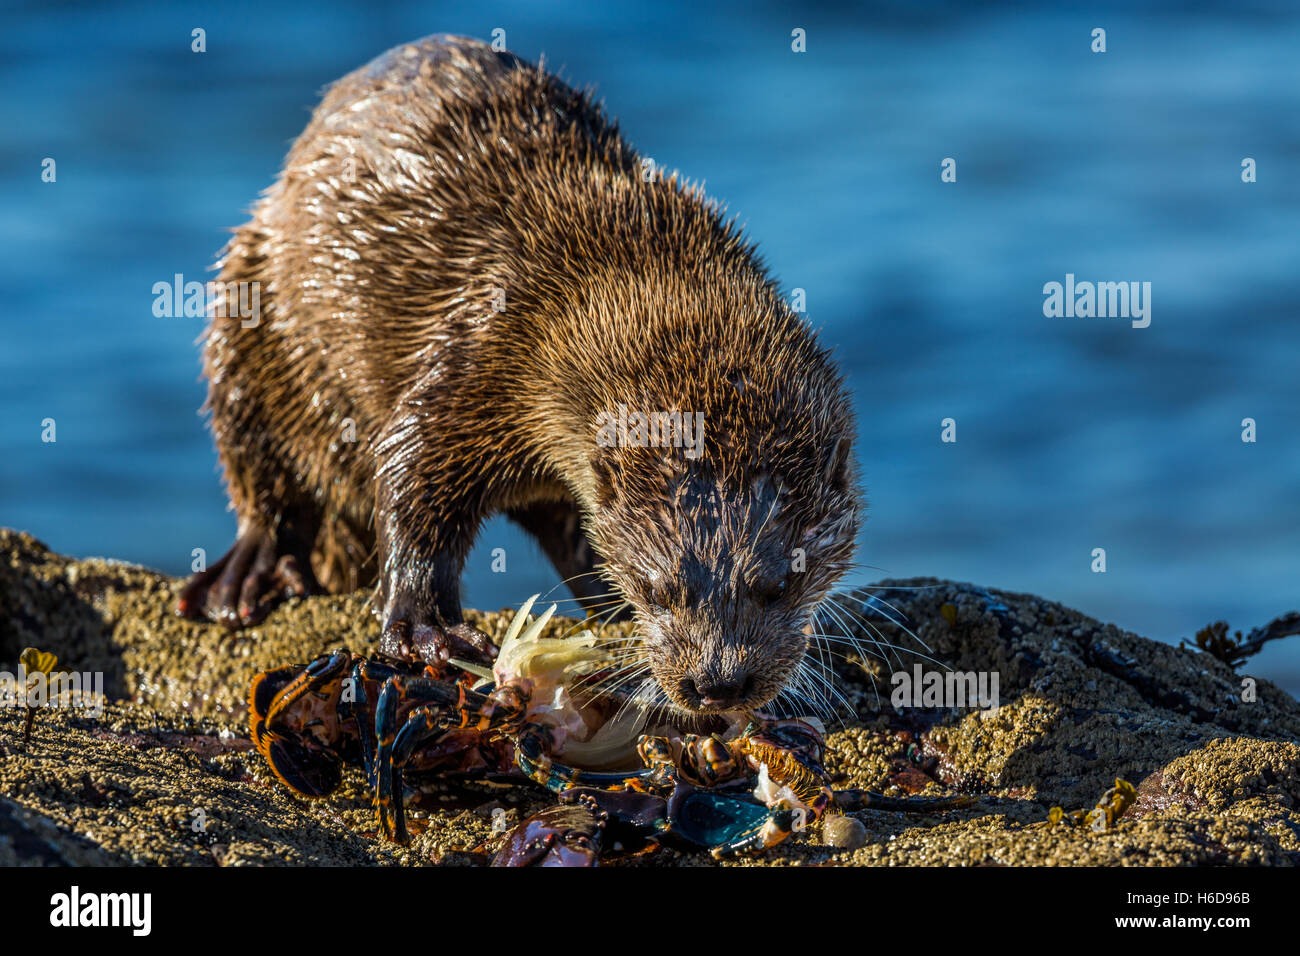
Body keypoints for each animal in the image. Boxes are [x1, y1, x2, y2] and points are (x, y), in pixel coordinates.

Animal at [179, 34, 862, 718]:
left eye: (783, 581)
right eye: (659, 587)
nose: (717, 683)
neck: (601, 279)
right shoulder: (477, 352)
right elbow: (408, 469)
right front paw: (428, 628)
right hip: (250, 301)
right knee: (258, 455)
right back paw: (247, 573)